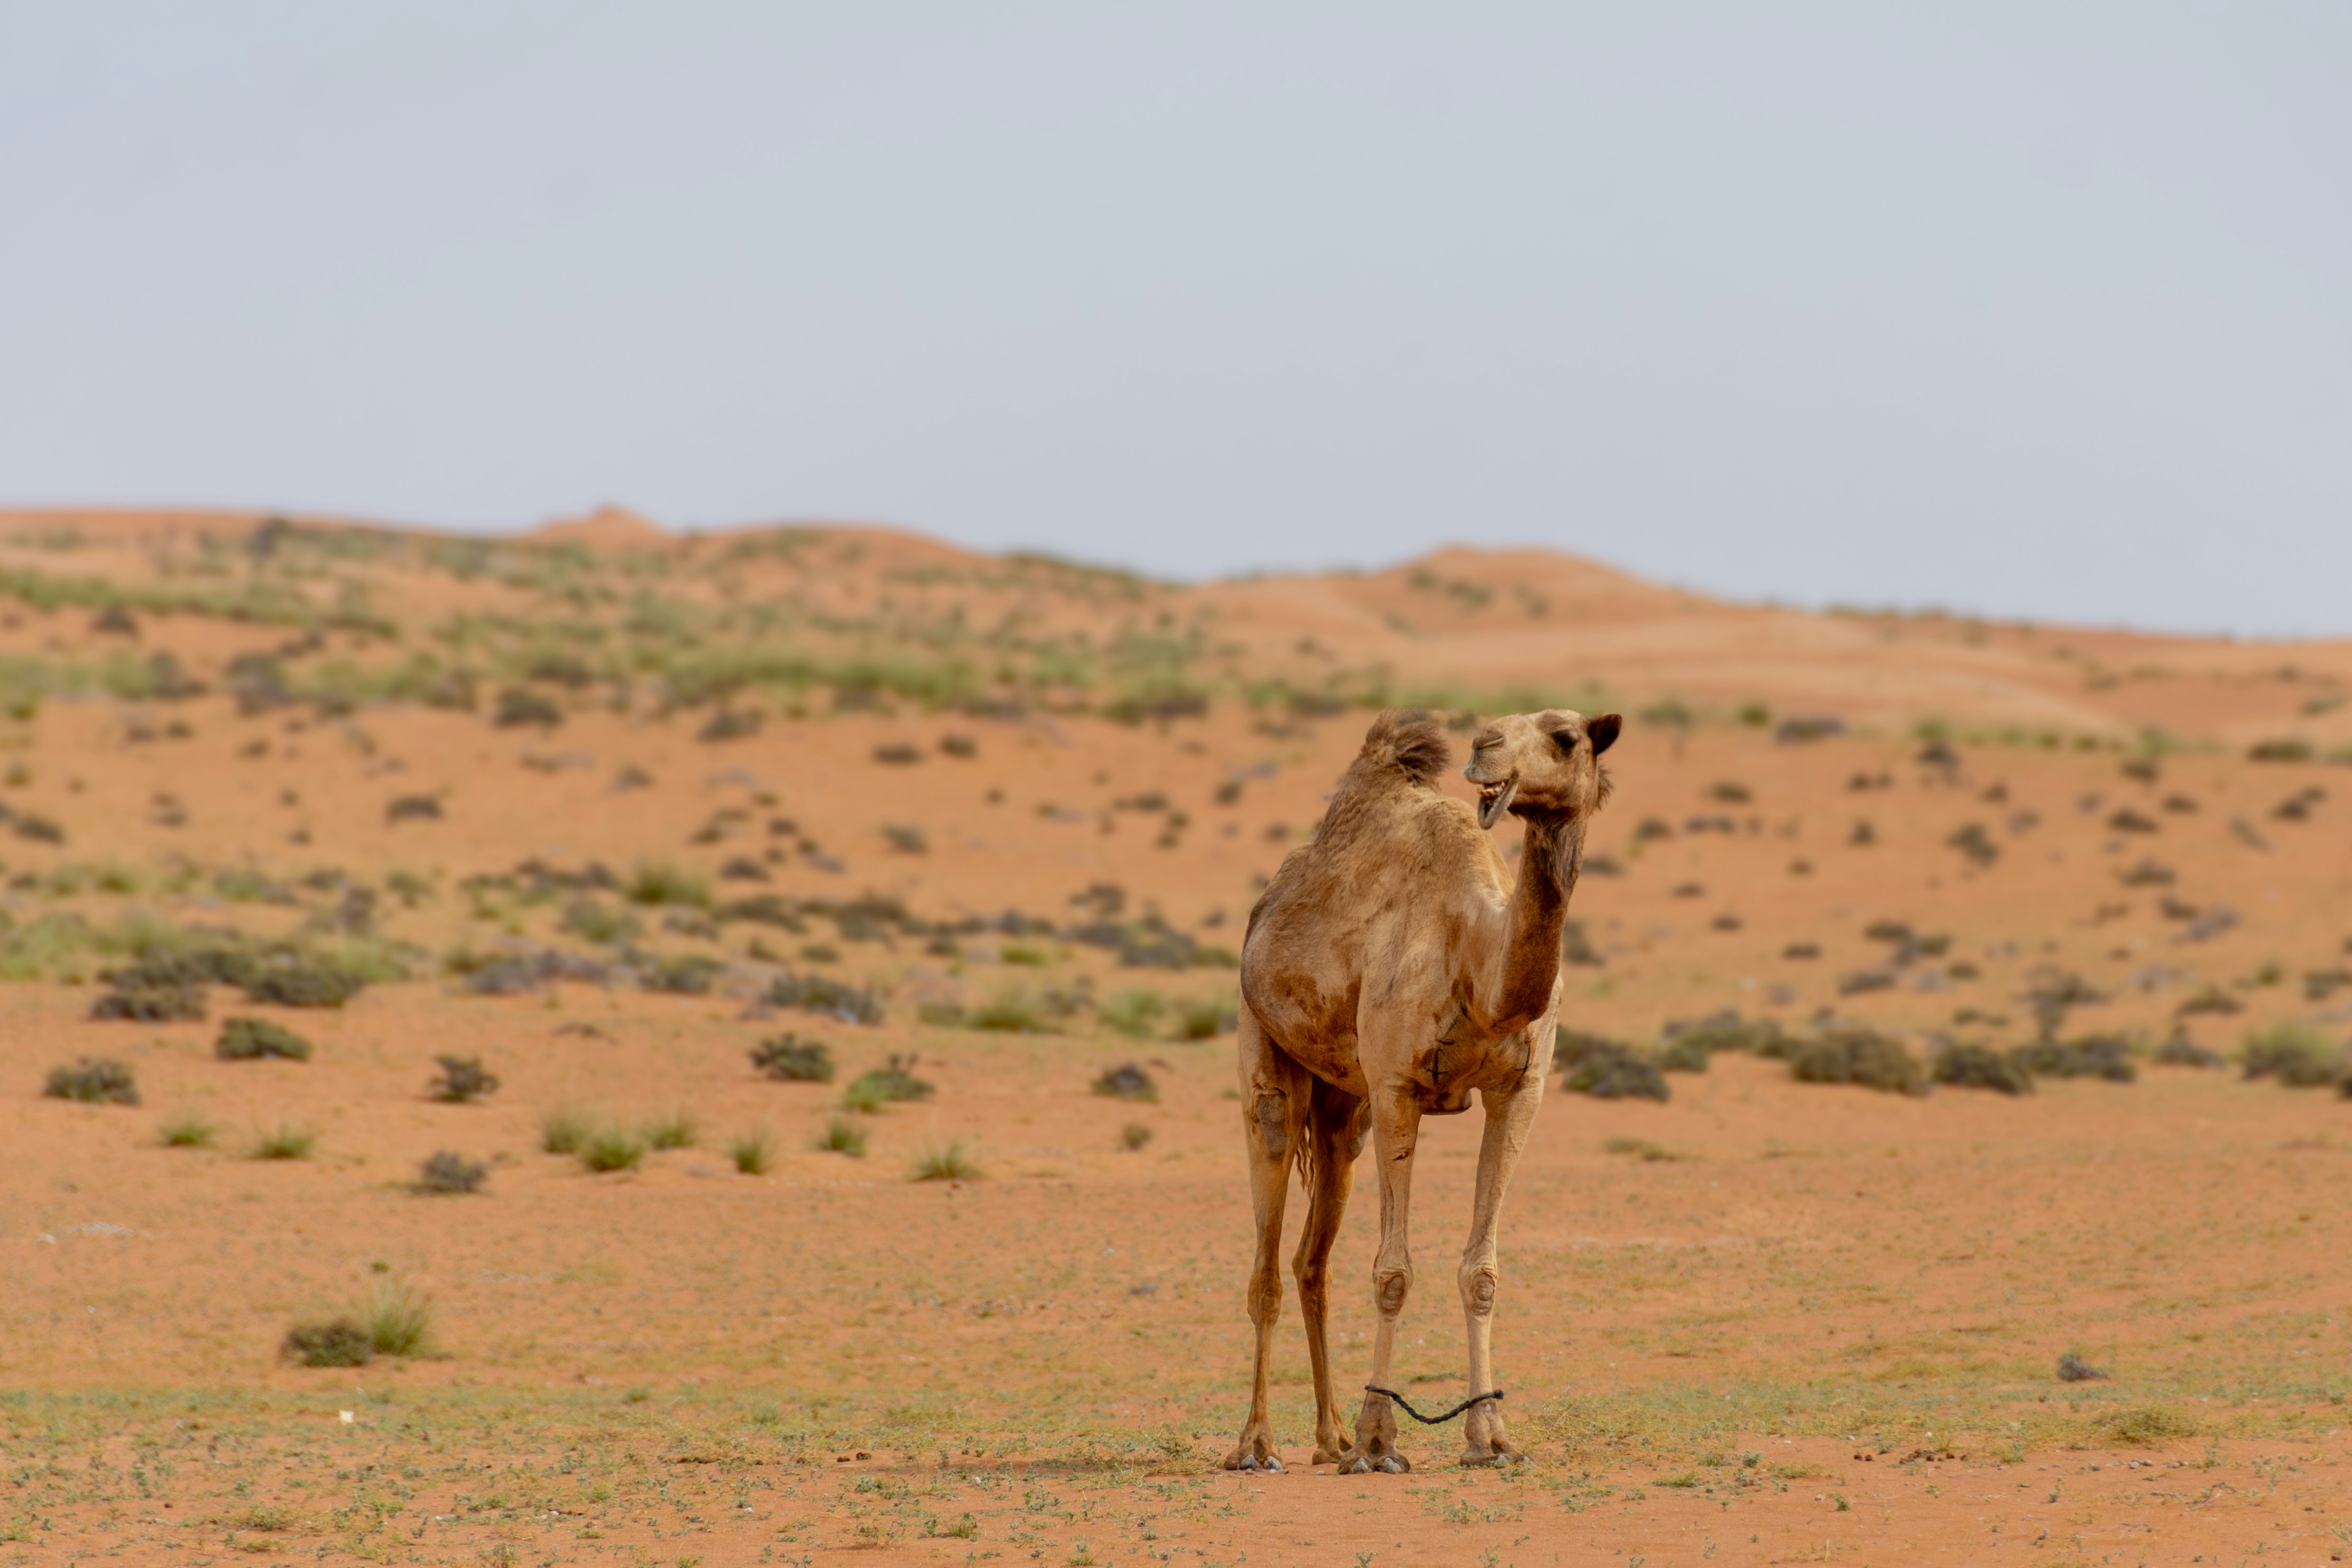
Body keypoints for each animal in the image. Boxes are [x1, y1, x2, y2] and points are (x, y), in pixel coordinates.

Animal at [1224, 705, 1620, 1474]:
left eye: (1565, 737)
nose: (1485, 747)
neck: (1479, 960)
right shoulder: (1397, 1085)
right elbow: (1392, 1271)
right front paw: (1381, 1441)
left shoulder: (1519, 1091)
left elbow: (1481, 1271)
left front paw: (1489, 1437)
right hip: (1266, 1049)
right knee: (1267, 1264)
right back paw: (1257, 1444)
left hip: (1344, 1111)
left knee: (1312, 1261)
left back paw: (1330, 1436)